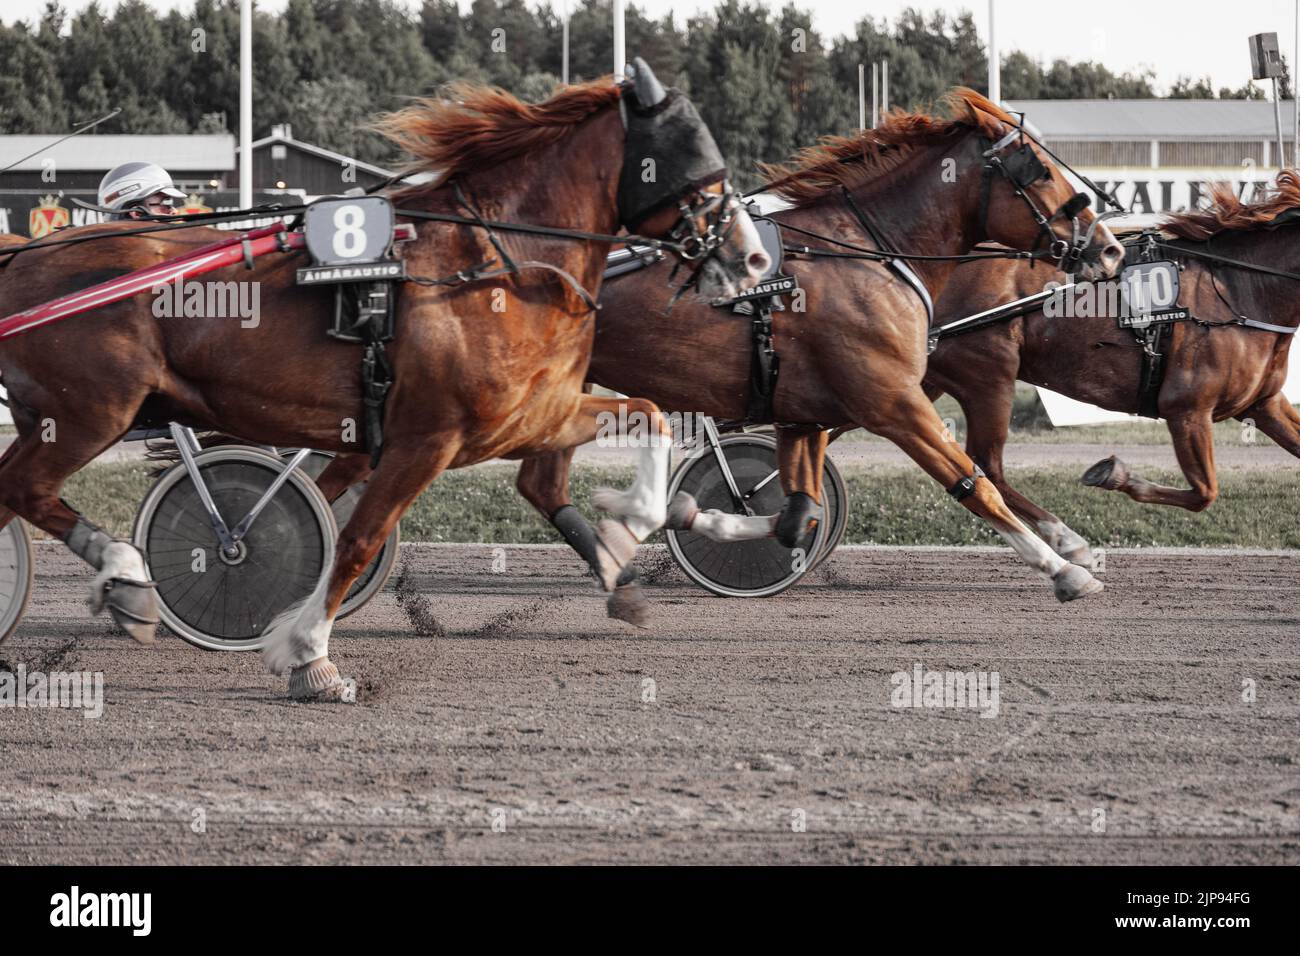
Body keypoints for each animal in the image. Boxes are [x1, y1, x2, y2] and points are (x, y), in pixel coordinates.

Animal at [0, 63, 770, 699]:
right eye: (694, 163)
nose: (754, 257)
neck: (497, 263)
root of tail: (24, 254)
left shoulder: (525, 413)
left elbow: (647, 418)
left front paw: (649, 523)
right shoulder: (427, 436)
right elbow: (357, 540)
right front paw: (309, 657)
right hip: (90, 412)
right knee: (25, 489)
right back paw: (125, 575)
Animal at [502, 89, 1124, 610]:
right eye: (1038, 168)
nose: (1111, 248)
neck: (866, 250)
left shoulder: (802, 412)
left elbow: (796, 516)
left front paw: (707, 517)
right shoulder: (894, 403)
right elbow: (976, 485)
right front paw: (1065, 567)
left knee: (541, 484)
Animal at [911, 172, 1300, 568]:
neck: (1239, 291)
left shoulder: (1263, 403)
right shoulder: (1188, 410)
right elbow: (1204, 492)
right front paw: (1115, 475)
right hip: (989, 377)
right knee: (987, 468)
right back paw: (1068, 542)